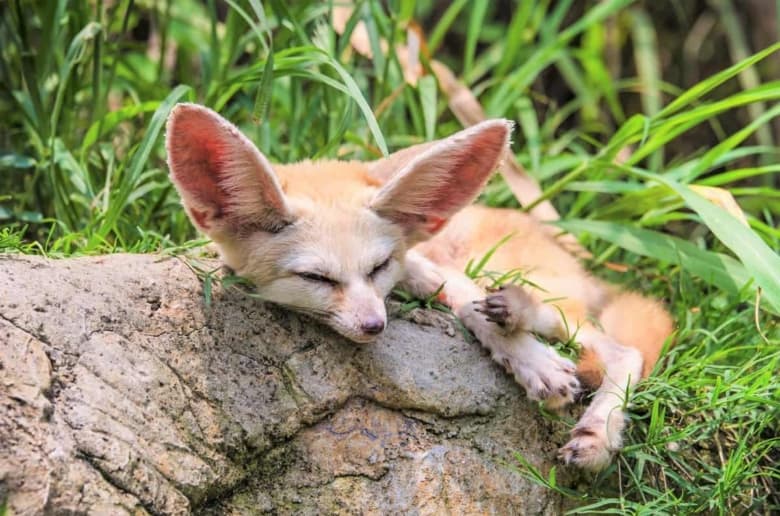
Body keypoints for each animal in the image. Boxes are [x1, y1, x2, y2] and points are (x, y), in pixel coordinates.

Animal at [165, 103, 674, 471]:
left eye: (378, 266)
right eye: (316, 278)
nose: (374, 326)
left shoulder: (421, 263)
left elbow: (467, 302)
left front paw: (533, 361)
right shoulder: (416, 267)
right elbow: (462, 303)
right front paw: (524, 355)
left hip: (529, 283)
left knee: (623, 351)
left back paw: (591, 425)